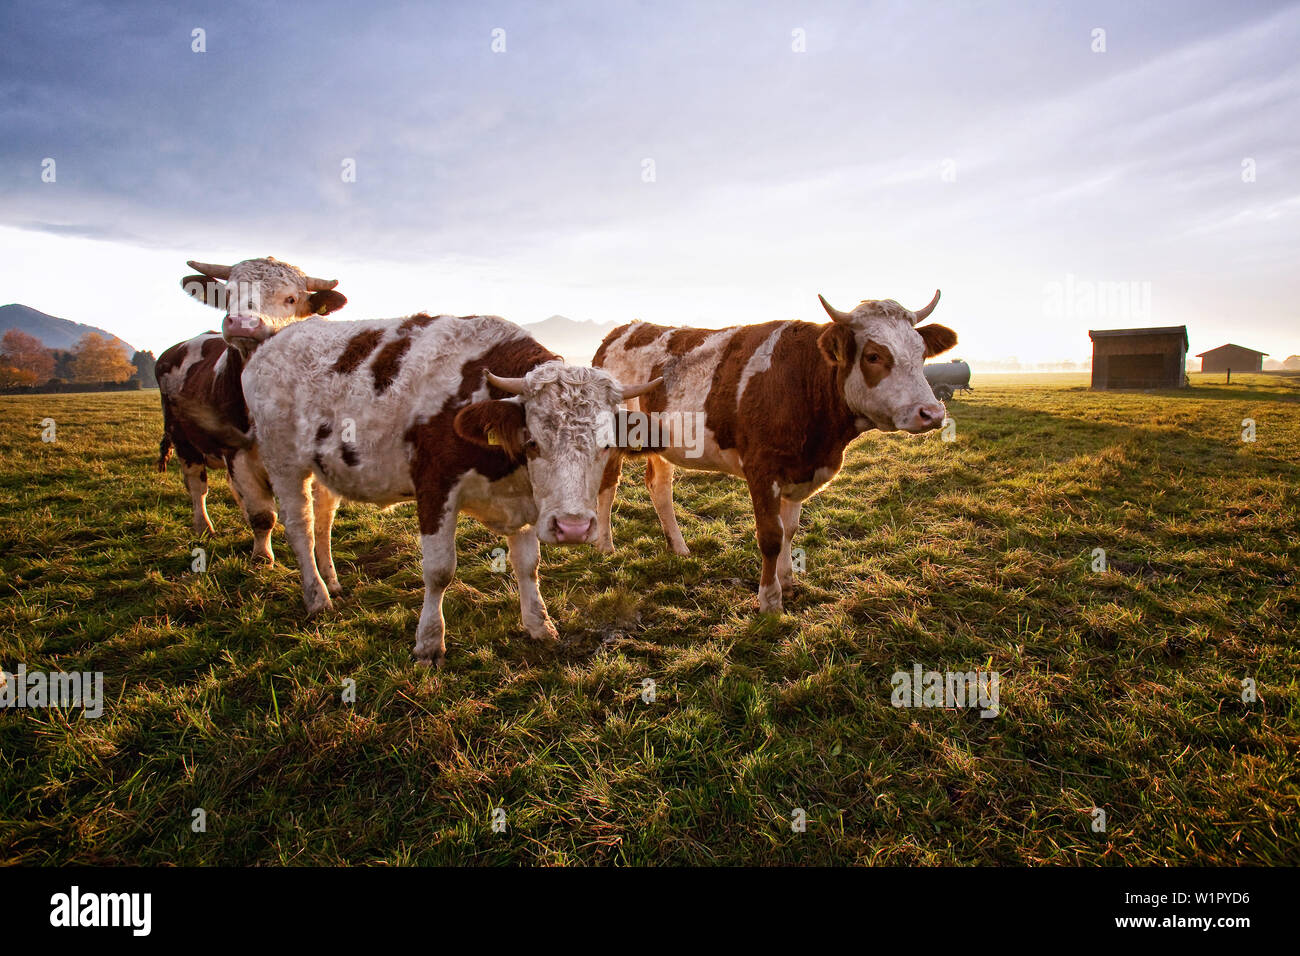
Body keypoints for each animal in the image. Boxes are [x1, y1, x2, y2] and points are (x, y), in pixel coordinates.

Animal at [155, 257, 347, 561]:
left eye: (291, 299)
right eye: (228, 294)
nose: (243, 323)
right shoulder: (238, 454)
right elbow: (262, 515)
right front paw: (262, 557)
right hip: (183, 439)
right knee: (197, 486)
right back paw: (203, 527)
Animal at [199, 313, 661, 666]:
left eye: (606, 443)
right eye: (532, 441)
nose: (573, 527)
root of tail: (274, 340)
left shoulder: (525, 501)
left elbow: (527, 565)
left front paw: (539, 624)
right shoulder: (436, 488)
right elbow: (440, 571)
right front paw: (429, 642)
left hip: (324, 466)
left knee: (324, 519)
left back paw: (332, 581)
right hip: (283, 462)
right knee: (300, 526)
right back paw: (316, 596)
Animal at [592, 290, 957, 613]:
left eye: (922, 353)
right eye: (874, 356)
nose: (931, 413)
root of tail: (620, 331)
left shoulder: (799, 470)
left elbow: (789, 530)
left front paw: (789, 581)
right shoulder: (762, 469)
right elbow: (770, 536)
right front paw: (769, 601)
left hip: (661, 444)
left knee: (660, 487)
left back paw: (679, 547)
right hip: (609, 439)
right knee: (608, 486)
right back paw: (605, 545)